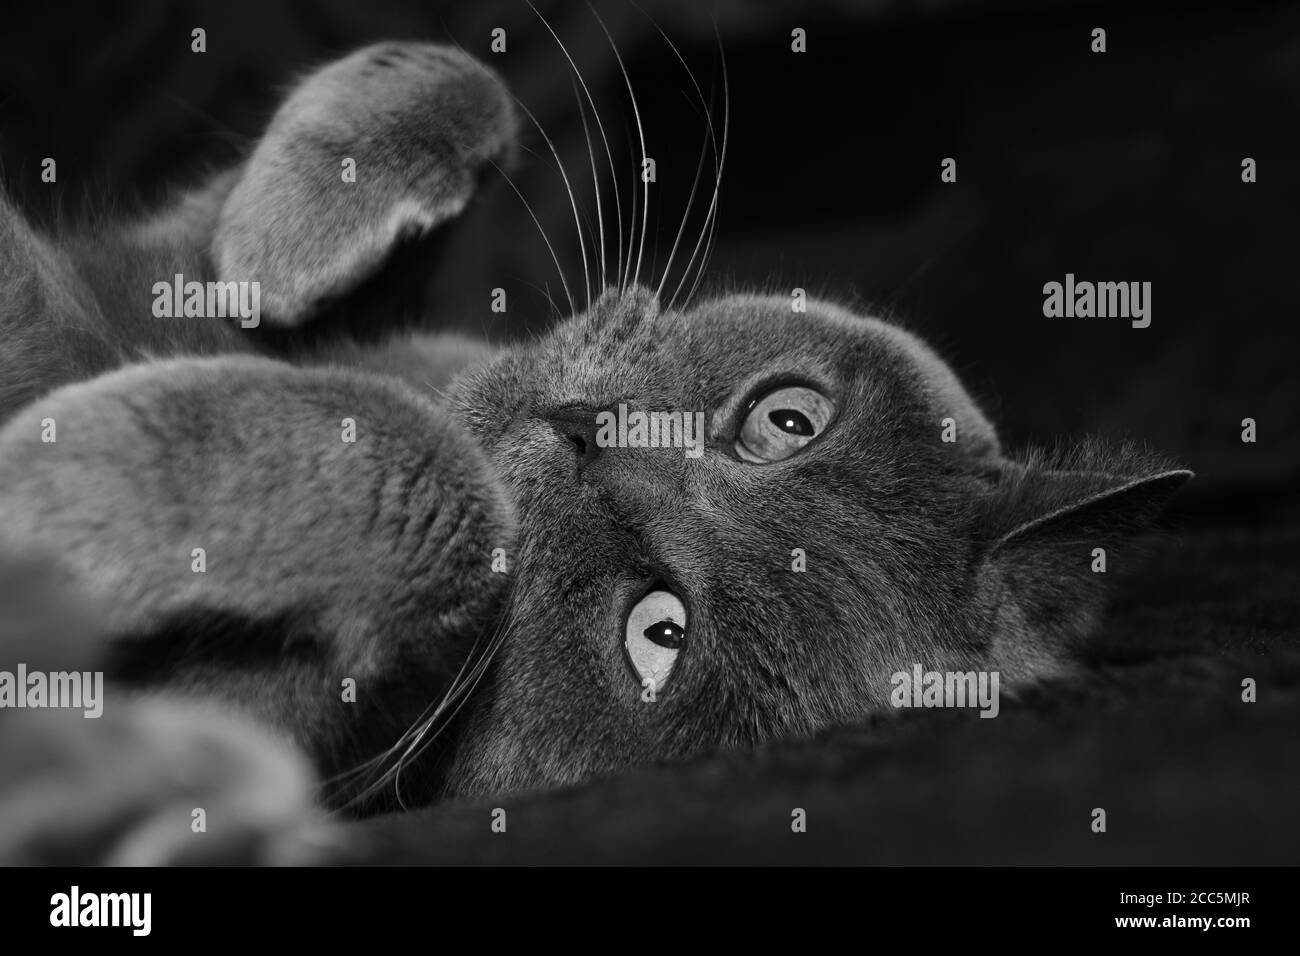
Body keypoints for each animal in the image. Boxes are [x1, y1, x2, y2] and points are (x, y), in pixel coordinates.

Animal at [0, 37, 1190, 863]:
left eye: (658, 633)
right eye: (786, 420)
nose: (588, 437)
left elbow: (429, 469)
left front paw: (52, 482)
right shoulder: (153, 260)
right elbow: (467, 79)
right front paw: (280, 237)